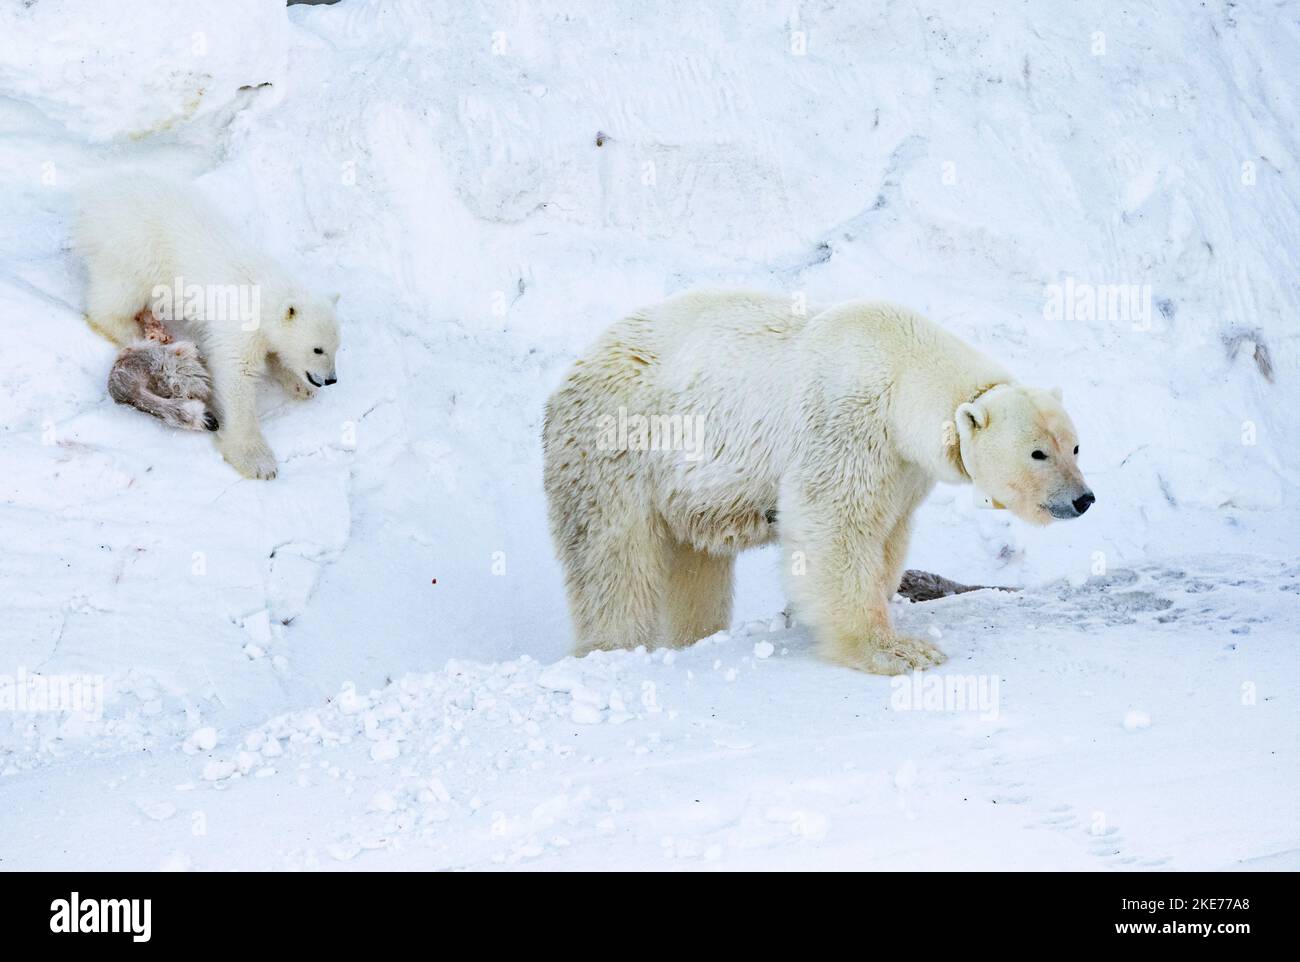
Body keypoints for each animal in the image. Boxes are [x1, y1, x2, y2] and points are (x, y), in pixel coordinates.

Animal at [72, 175, 341, 479]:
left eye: (336, 346)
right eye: (318, 349)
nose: (330, 379)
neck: (264, 290)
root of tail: (90, 205)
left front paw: (299, 385)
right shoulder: (239, 325)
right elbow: (237, 375)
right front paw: (257, 461)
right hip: (135, 249)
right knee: (118, 295)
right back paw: (135, 332)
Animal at [543, 290, 1094, 674]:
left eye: (1074, 446)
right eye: (1038, 452)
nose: (1083, 499)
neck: (903, 368)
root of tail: (574, 369)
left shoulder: (901, 466)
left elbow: (887, 535)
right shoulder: (849, 420)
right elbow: (835, 526)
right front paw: (899, 651)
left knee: (696, 566)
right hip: (616, 447)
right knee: (613, 558)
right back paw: (614, 646)